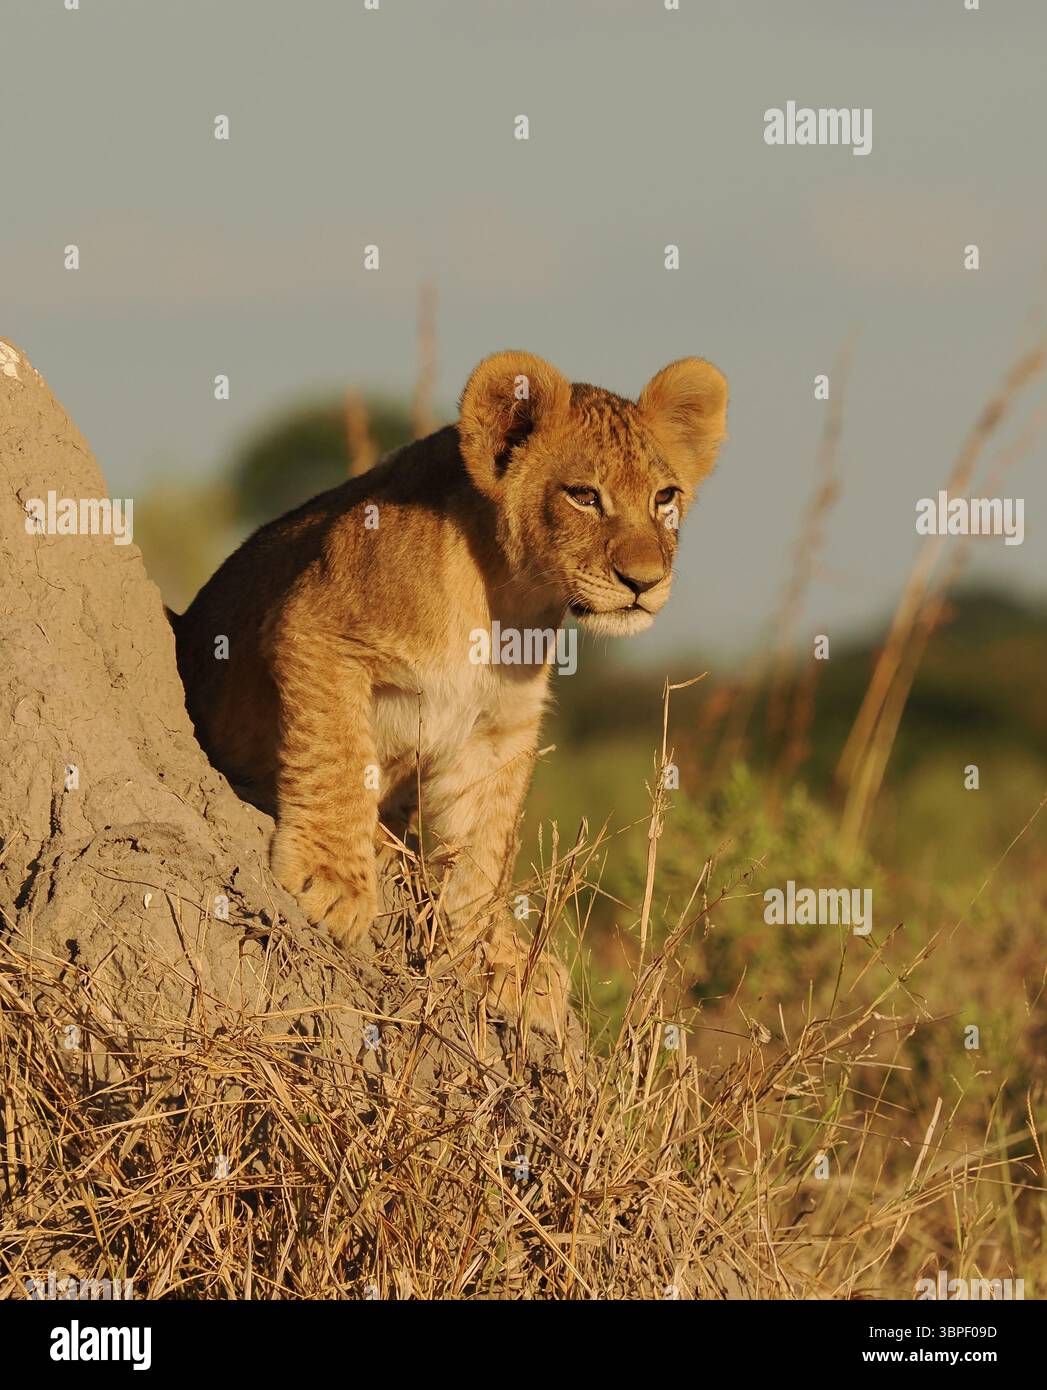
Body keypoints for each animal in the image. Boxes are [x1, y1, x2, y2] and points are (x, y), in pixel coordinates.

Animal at [173, 350, 728, 1030]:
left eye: (665, 497)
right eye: (583, 496)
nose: (644, 582)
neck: (509, 593)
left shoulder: (499, 727)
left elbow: (483, 851)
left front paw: (498, 961)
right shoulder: (315, 626)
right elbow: (336, 758)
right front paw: (332, 880)